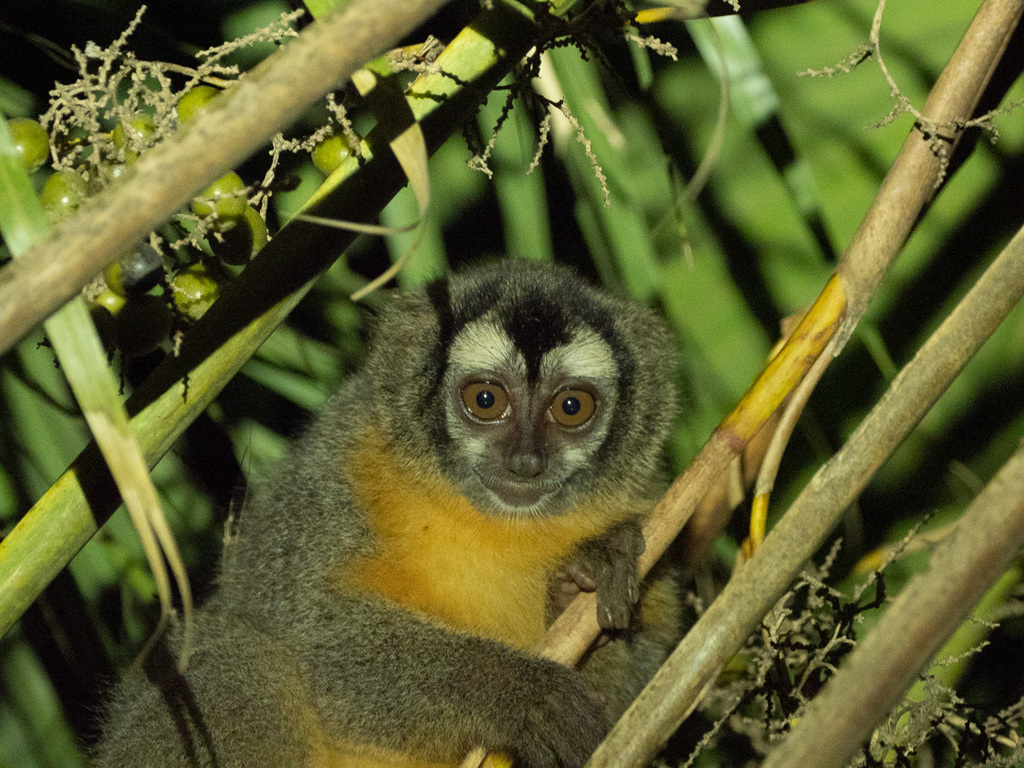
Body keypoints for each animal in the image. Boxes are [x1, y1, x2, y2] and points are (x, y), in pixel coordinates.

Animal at [95, 259, 682, 768]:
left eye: (571, 407)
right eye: (486, 400)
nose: (525, 461)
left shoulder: (643, 509)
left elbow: (630, 721)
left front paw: (585, 575)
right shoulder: (335, 471)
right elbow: (305, 627)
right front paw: (526, 695)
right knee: (237, 655)